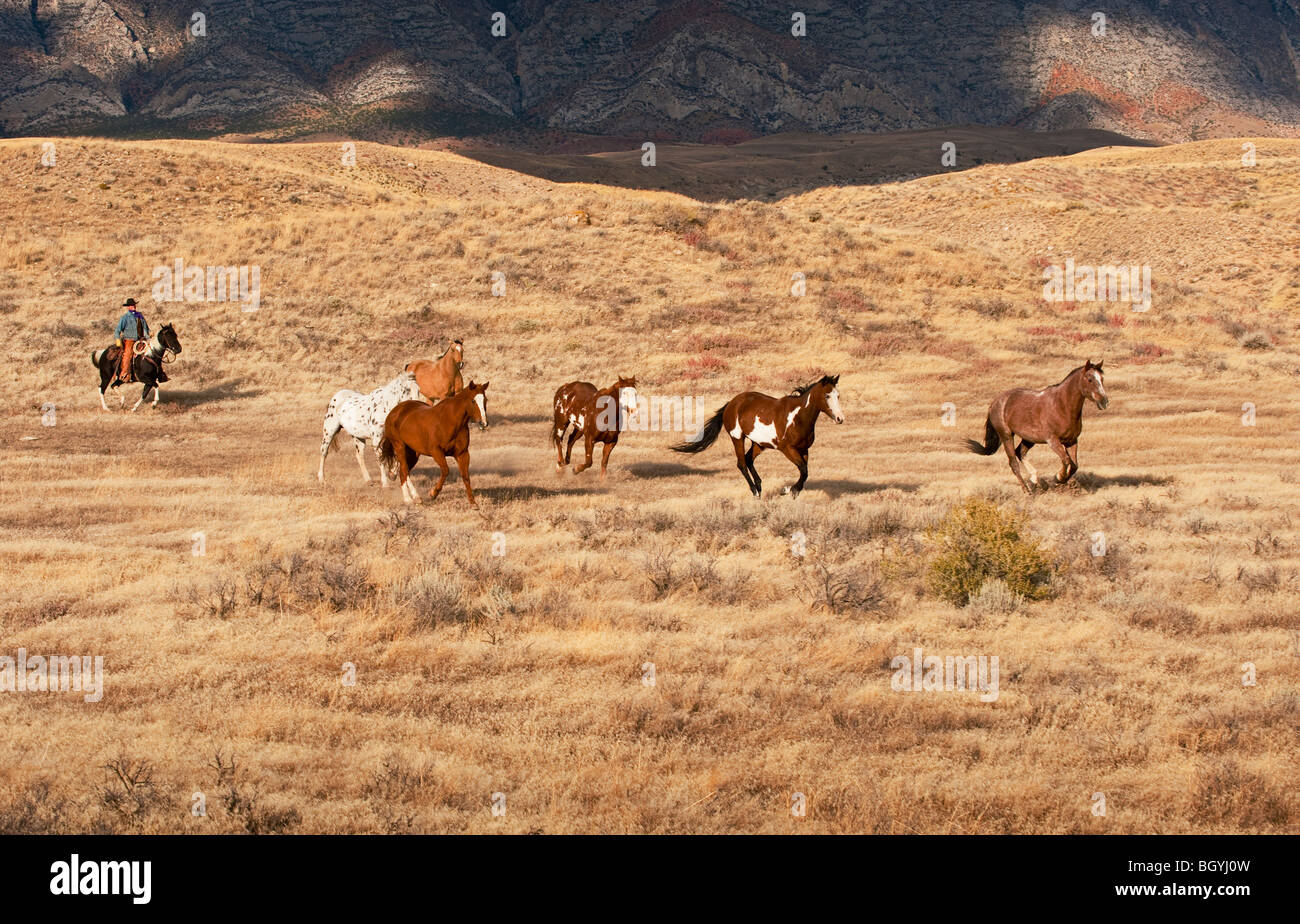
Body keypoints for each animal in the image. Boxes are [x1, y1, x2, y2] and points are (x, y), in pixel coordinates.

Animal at [670, 374, 844, 498]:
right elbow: (803, 470)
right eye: (827, 396)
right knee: (741, 463)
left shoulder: (804, 450)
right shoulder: (787, 449)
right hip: (738, 438)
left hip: (759, 443)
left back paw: (760, 487)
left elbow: (805, 472)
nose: (840, 418)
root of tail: (731, 404)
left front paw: (793, 491)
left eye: (838, 395)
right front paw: (787, 490)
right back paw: (754, 490)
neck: (798, 417)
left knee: (748, 459)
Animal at [965, 359, 1109, 493]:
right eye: (1090, 379)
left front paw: (1059, 480)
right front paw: (1057, 478)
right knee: (1013, 462)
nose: (1104, 402)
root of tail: (996, 402)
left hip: (1028, 439)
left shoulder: (1072, 441)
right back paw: (1027, 490)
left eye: (1102, 379)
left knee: (1020, 452)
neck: (1062, 406)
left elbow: (1074, 466)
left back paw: (1037, 481)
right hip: (1006, 436)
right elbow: (1066, 460)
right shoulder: (1053, 441)